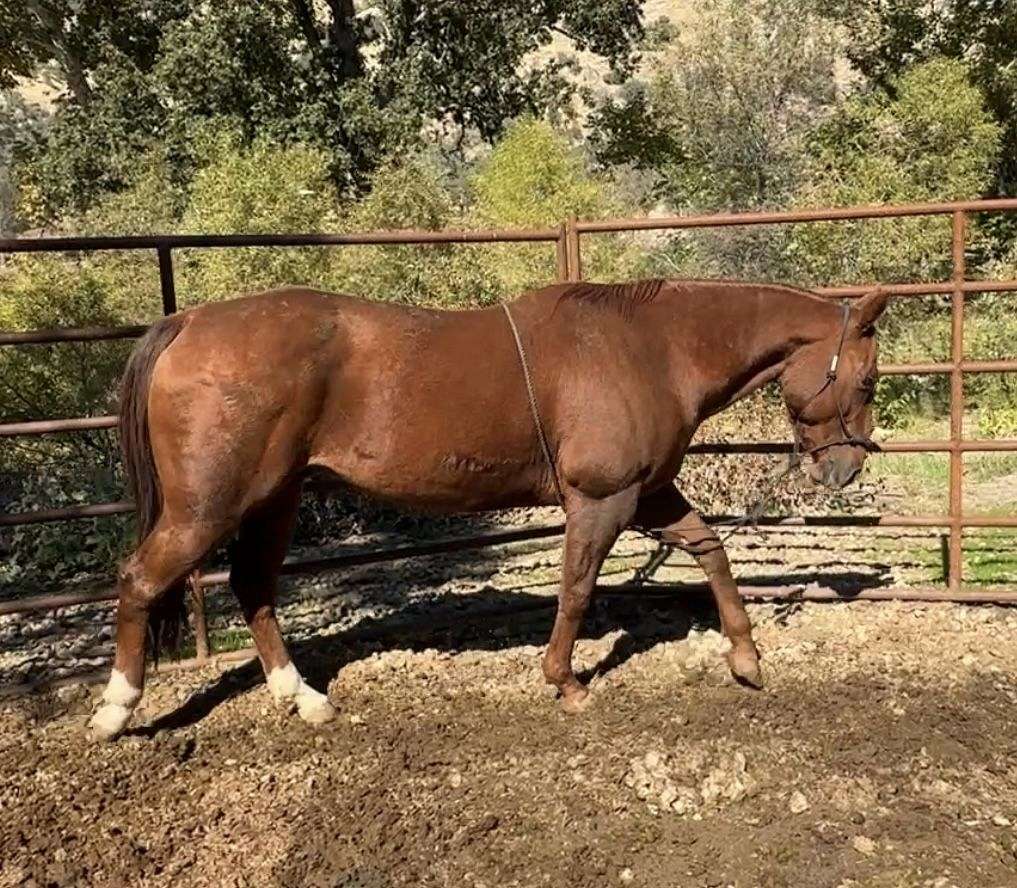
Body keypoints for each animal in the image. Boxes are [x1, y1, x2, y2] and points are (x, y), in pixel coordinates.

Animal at [88, 278, 889, 740]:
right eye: (868, 378)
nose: (846, 468)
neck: (651, 348)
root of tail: (188, 323)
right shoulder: (602, 499)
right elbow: (575, 590)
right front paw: (565, 682)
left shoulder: (649, 494)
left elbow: (710, 549)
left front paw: (745, 658)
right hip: (207, 508)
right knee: (140, 581)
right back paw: (116, 711)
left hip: (272, 502)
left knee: (254, 589)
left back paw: (303, 697)